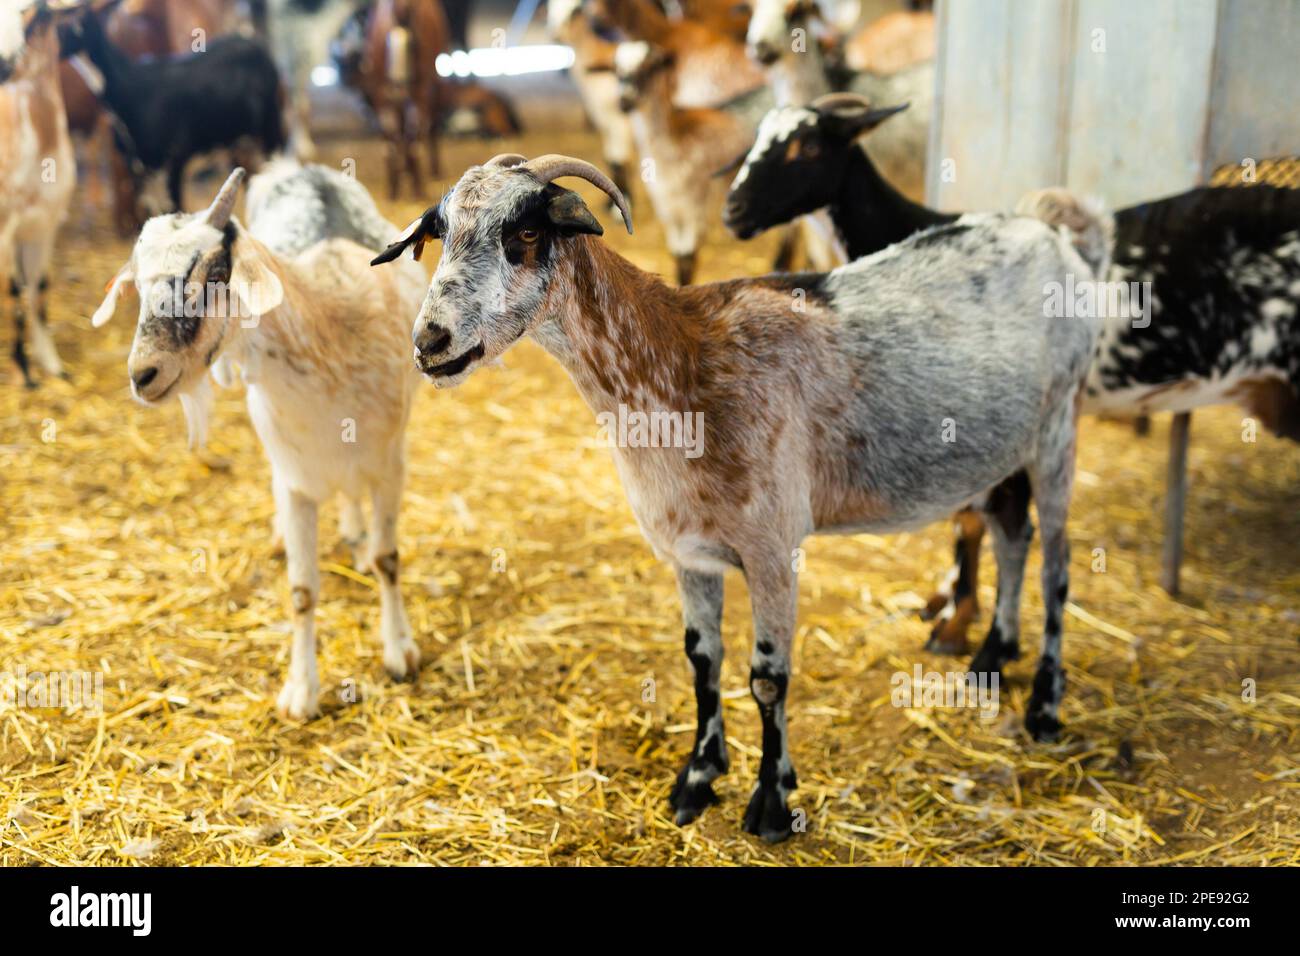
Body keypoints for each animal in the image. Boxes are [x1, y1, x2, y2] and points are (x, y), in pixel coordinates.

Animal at [67, 8, 285, 213]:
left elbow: (174, 208)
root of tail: (253, 43)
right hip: (239, 139)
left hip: (271, 124)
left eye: (76, 20)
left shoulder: (175, 159)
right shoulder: (139, 170)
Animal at [92, 162, 428, 720]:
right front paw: (301, 691)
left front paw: (400, 650)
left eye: (214, 276)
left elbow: (388, 560)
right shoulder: (294, 479)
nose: (143, 375)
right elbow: (302, 590)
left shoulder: (389, 463)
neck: (330, 330)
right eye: (137, 286)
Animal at [371, 152, 1110, 840]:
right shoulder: (690, 552)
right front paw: (699, 777)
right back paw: (992, 659)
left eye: (525, 231)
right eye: (440, 232)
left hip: (1060, 426)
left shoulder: (773, 546)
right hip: (1000, 448)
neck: (679, 368)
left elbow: (767, 676)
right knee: (1014, 534)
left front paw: (772, 803)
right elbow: (703, 663)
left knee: (1058, 567)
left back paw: (1045, 706)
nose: (430, 342)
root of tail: (1049, 229)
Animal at [612, 41, 765, 284]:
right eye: (616, 69)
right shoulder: (668, 207)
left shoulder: (695, 205)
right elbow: (677, 256)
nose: (624, 101)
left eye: (651, 67)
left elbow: (688, 258)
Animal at [724, 93, 1300, 654]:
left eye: (807, 147)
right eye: (755, 141)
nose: (733, 211)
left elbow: (978, 522)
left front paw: (962, 624)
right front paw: (952, 605)